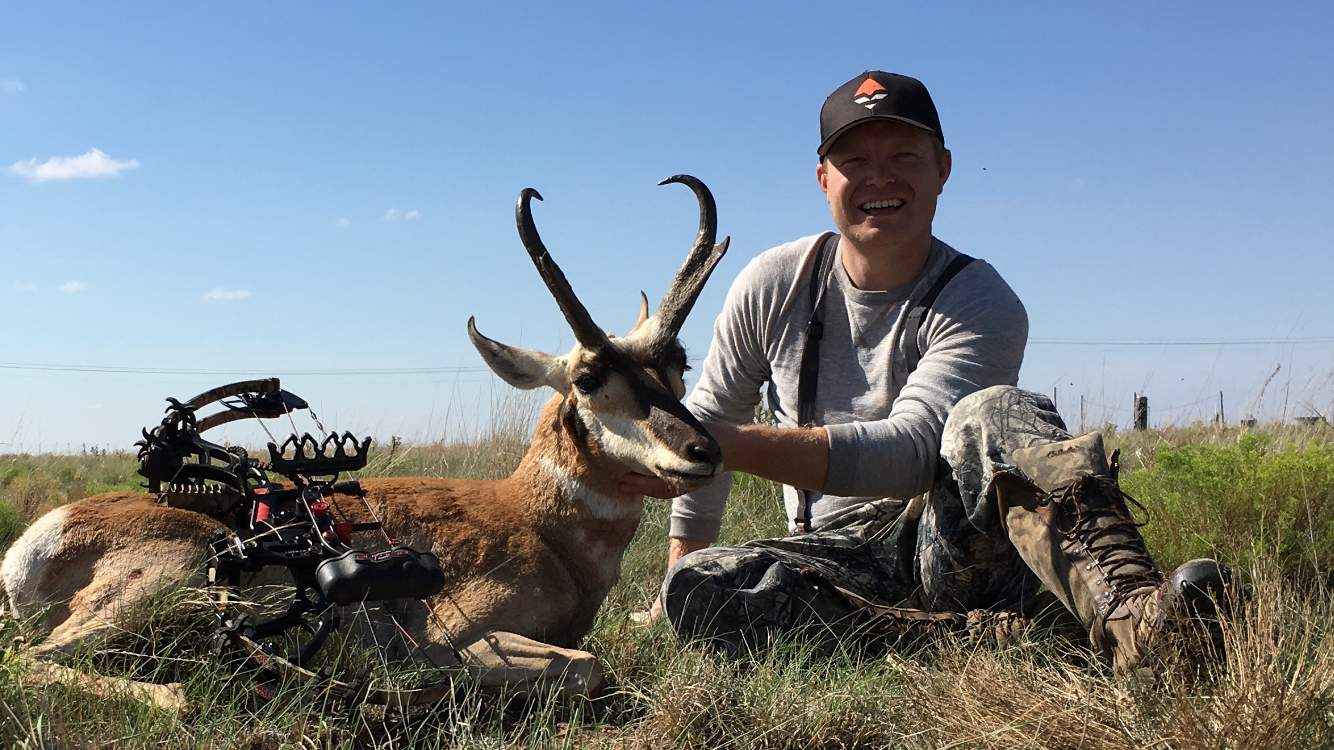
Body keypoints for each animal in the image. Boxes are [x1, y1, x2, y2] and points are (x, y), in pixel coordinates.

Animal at [0, 175, 729, 705]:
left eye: (678, 361)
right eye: (587, 375)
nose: (704, 452)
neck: (535, 522)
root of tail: (44, 534)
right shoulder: (462, 633)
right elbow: (588, 666)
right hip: (172, 584)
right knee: (35, 661)